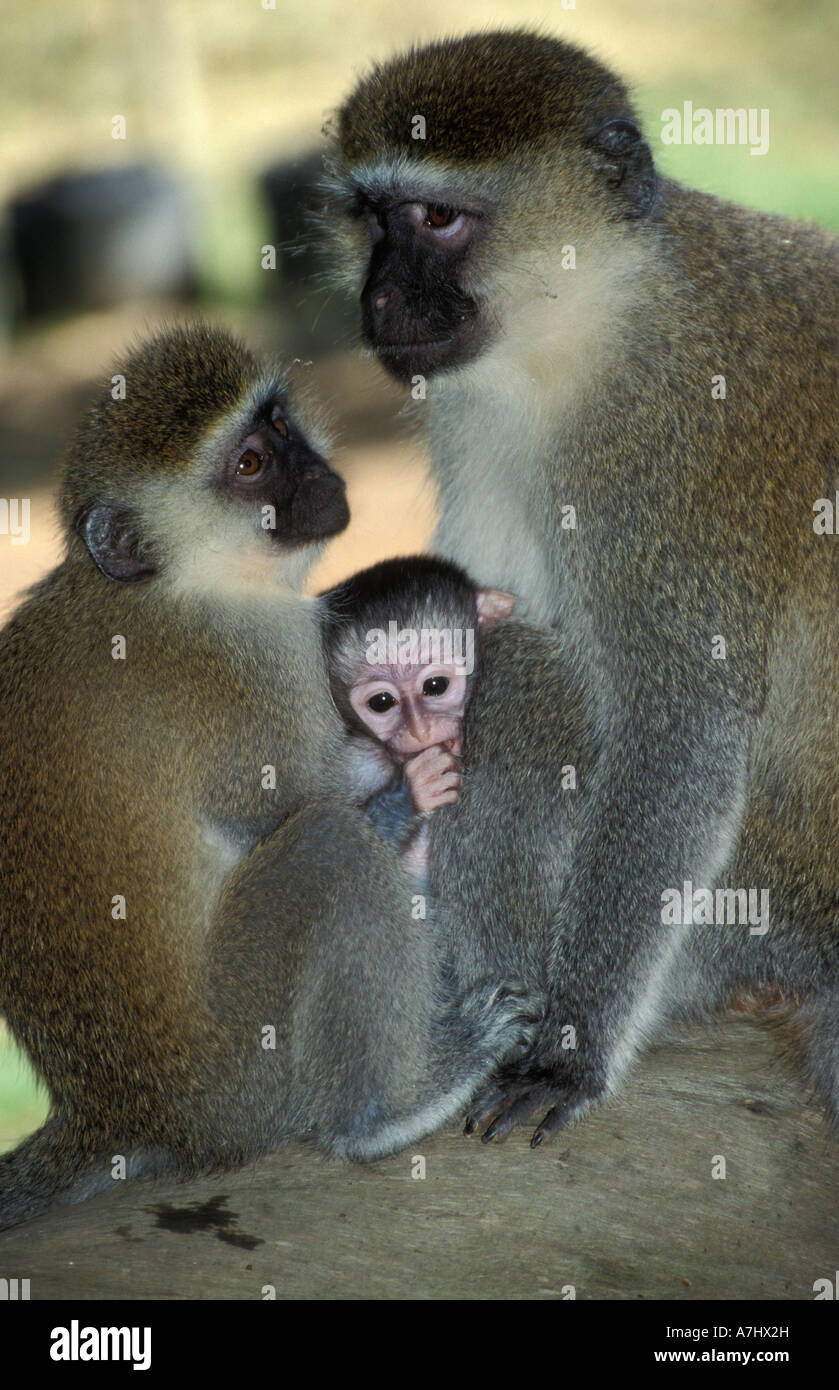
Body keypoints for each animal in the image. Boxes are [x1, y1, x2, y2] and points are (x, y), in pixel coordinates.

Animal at [0, 323, 541, 1230]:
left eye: (280, 425)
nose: (319, 474)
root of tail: (124, 1115)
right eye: (250, 465)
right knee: (329, 847)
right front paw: (411, 783)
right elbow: (310, 799)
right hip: (244, 1067)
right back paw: (383, 1112)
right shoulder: (252, 664)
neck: (175, 584)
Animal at [326, 29, 839, 1142]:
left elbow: (677, 731)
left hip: (755, 908)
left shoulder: (657, 453)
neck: (591, 314)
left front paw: (567, 1050)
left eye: (437, 219)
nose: (377, 299)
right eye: (375, 216)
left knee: (517, 688)